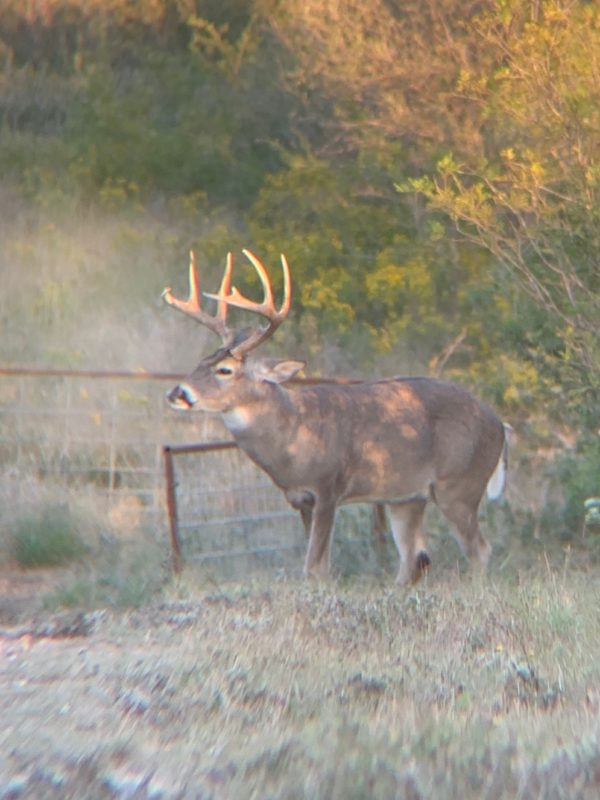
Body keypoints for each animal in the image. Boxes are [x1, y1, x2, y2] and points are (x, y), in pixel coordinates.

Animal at [163, 249, 509, 583]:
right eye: (201, 361)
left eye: (225, 370)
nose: (177, 392)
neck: (293, 437)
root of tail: (501, 425)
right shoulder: (300, 498)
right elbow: (320, 567)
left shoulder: (328, 487)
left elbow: (315, 568)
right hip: (407, 496)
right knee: (414, 559)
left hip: (459, 484)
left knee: (479, 548)